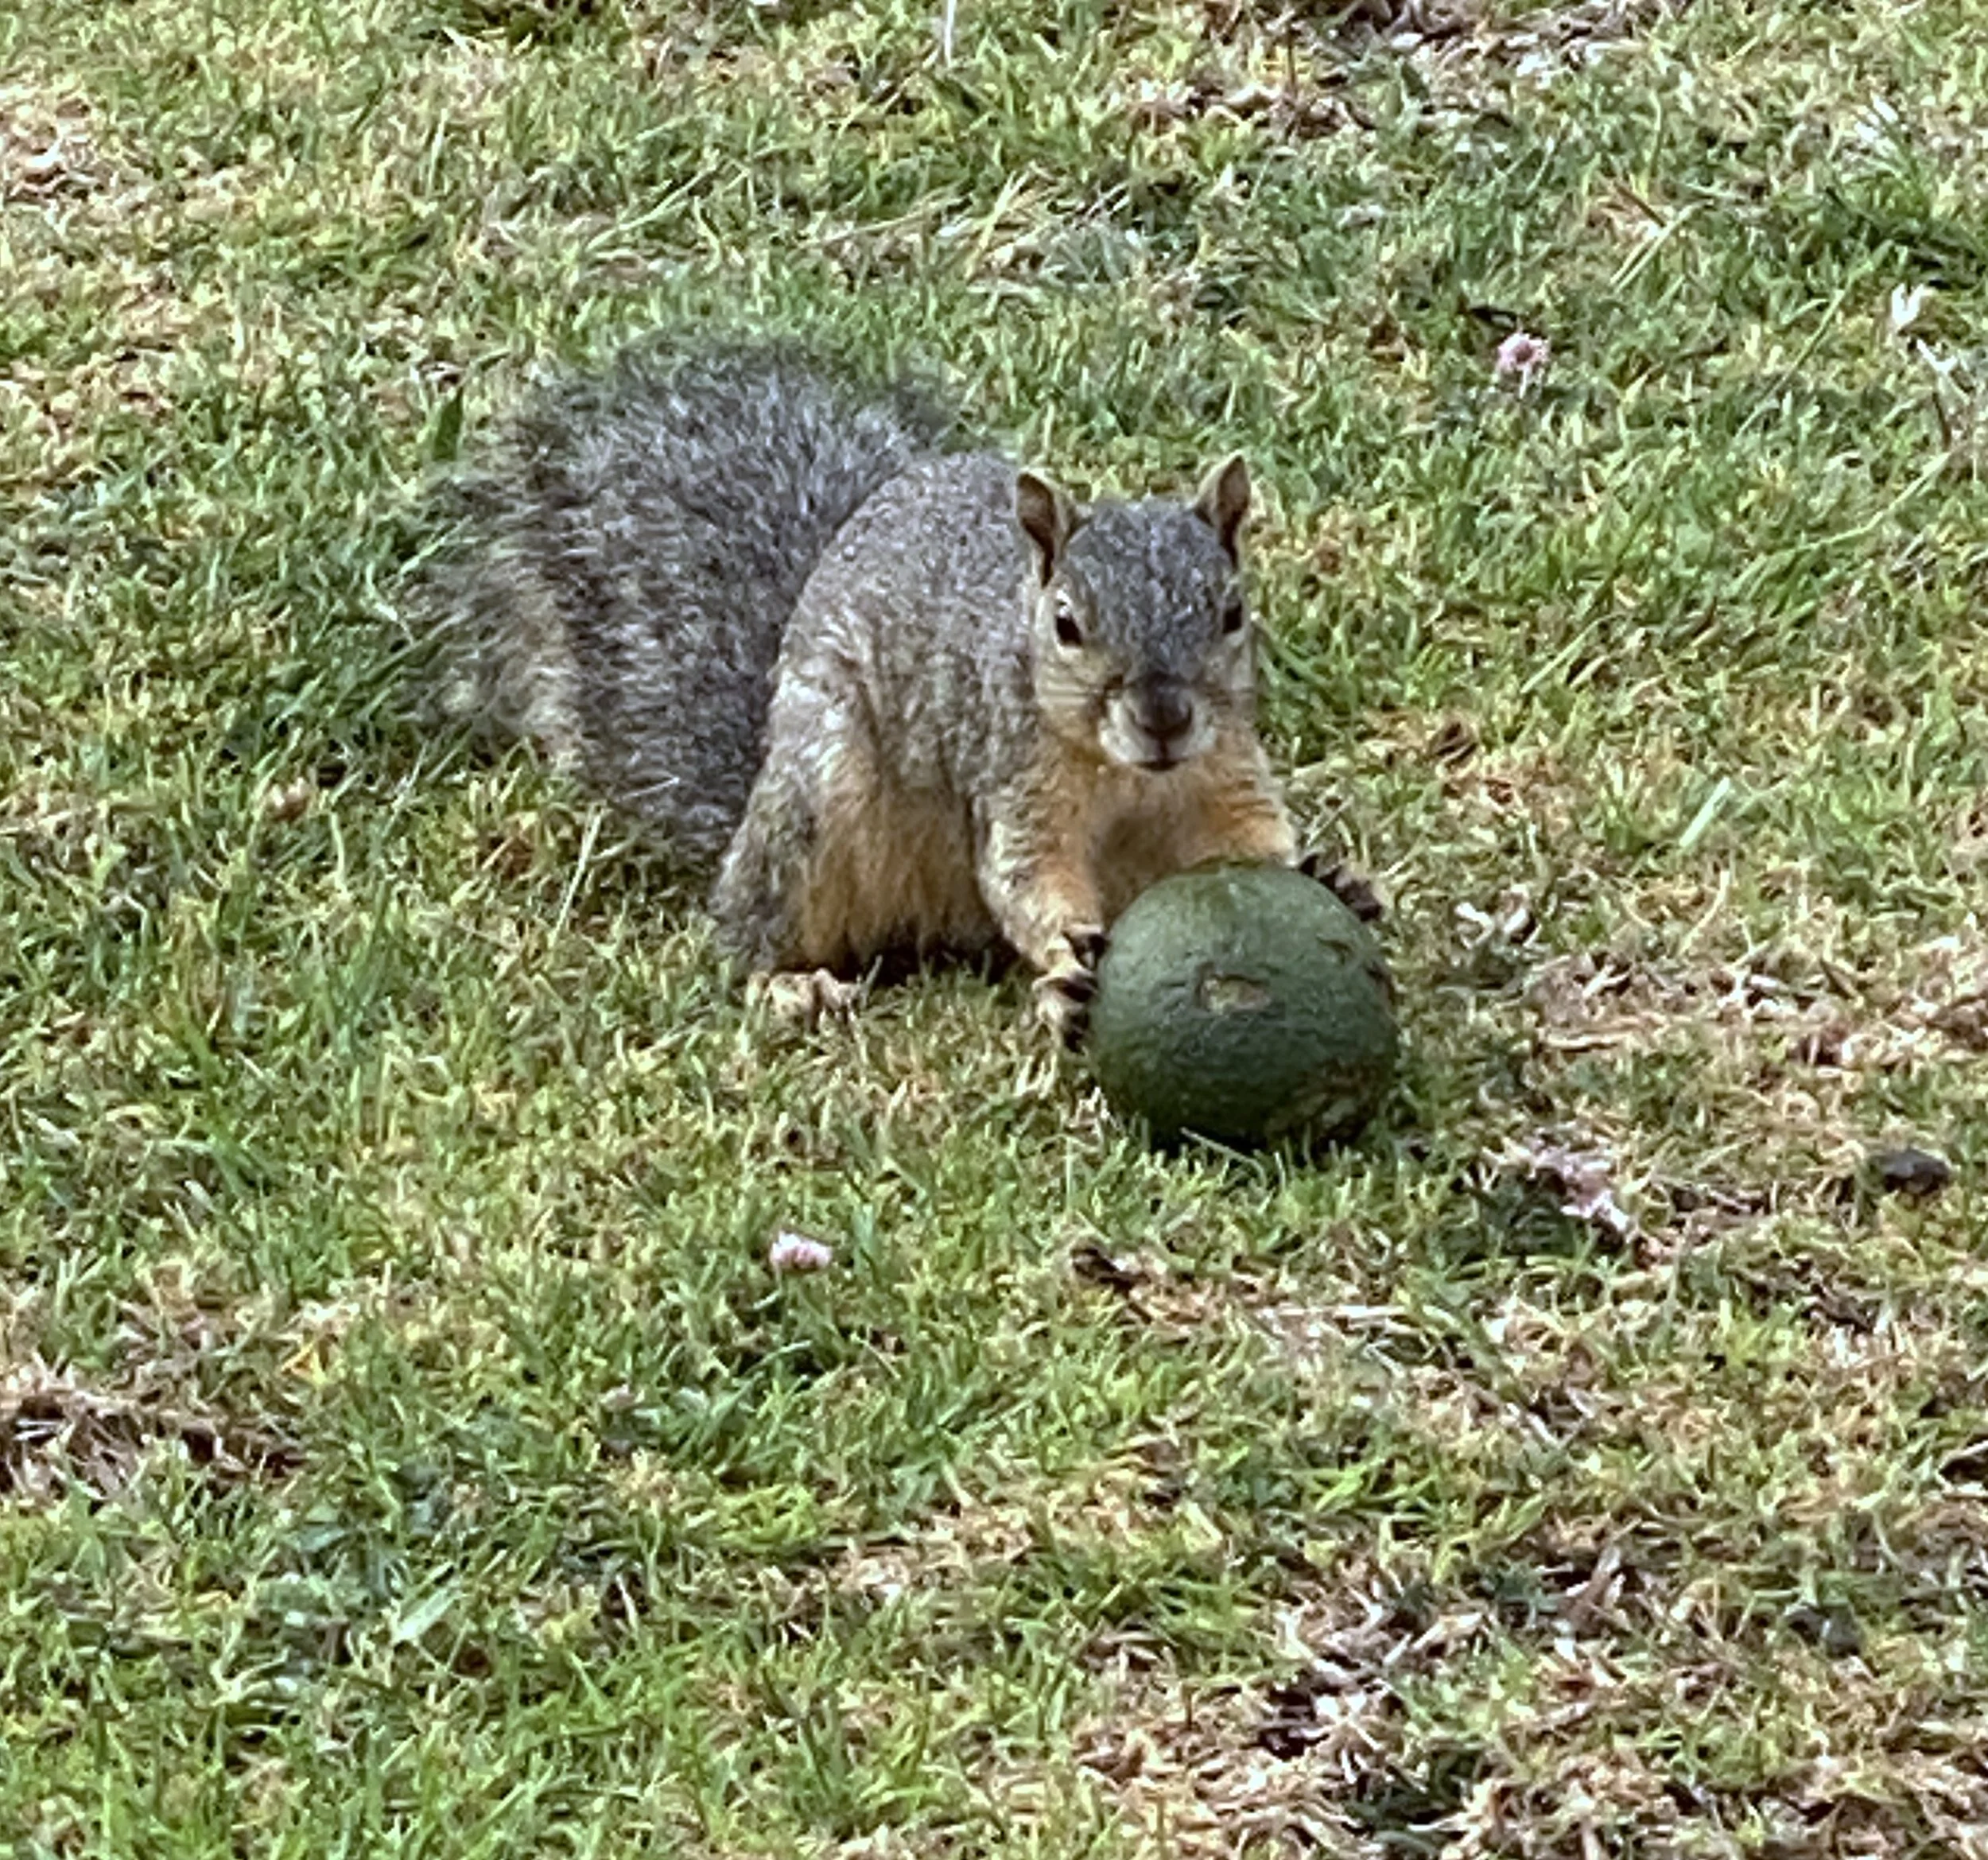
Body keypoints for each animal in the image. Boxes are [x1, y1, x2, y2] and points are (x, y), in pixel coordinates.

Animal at [422, 336, 1308, 1035]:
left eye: (1232, 611)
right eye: (1066, 624)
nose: (1164, 717)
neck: (1131, 776)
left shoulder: (1226, 767)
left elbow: (1253, 839)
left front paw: (1324, 879)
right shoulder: (1012, 776)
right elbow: (1027, 878)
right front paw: (1067, 963)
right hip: (819, 797)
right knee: (749, 928)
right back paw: (787, 984)